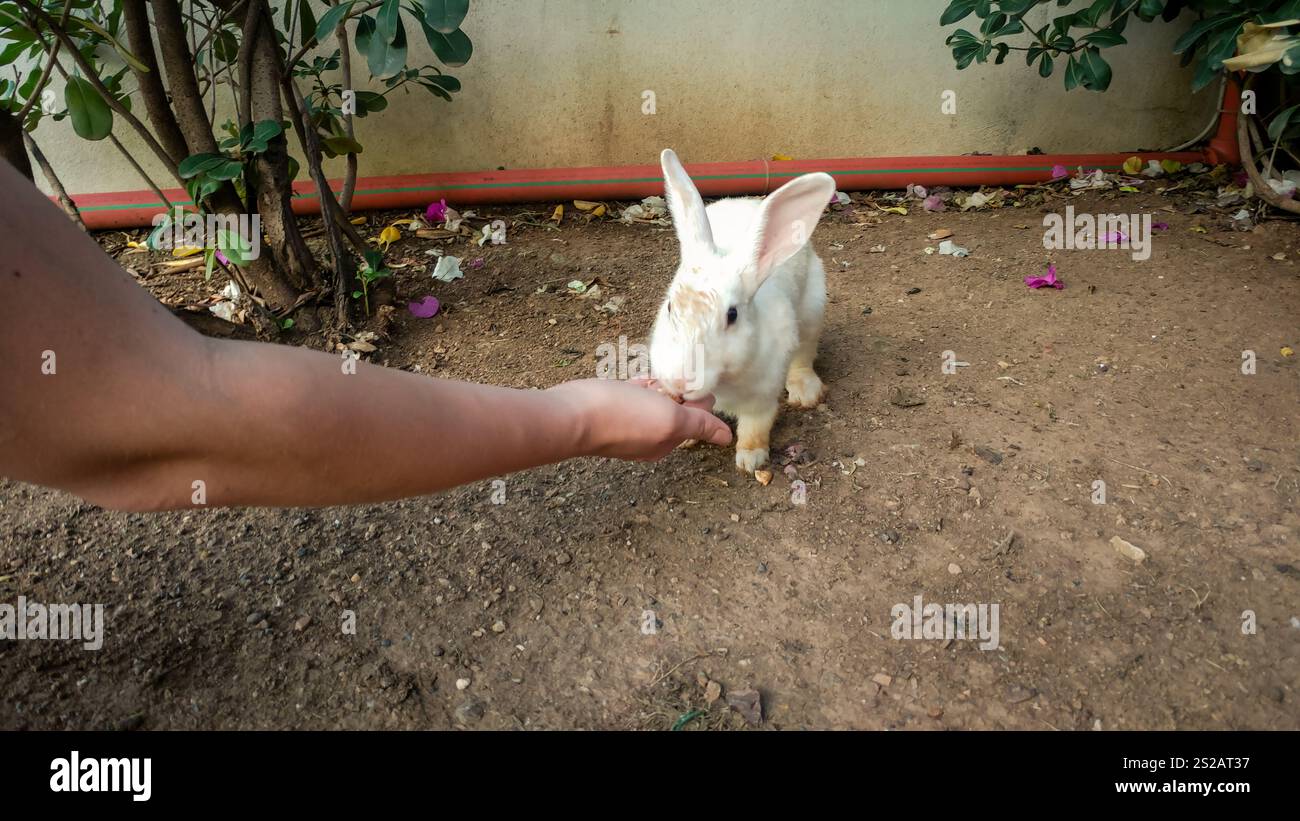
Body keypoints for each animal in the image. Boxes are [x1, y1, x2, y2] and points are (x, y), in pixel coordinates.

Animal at [649, 148, 835, 473]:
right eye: (670, 307)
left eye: (732, 315)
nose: (681, 381)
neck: (723, 382)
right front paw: (684, 437)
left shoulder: (762, 398)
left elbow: (755, 426)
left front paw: (751, 458)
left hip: (812, 309)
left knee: (804, 355)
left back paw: (805, 392)